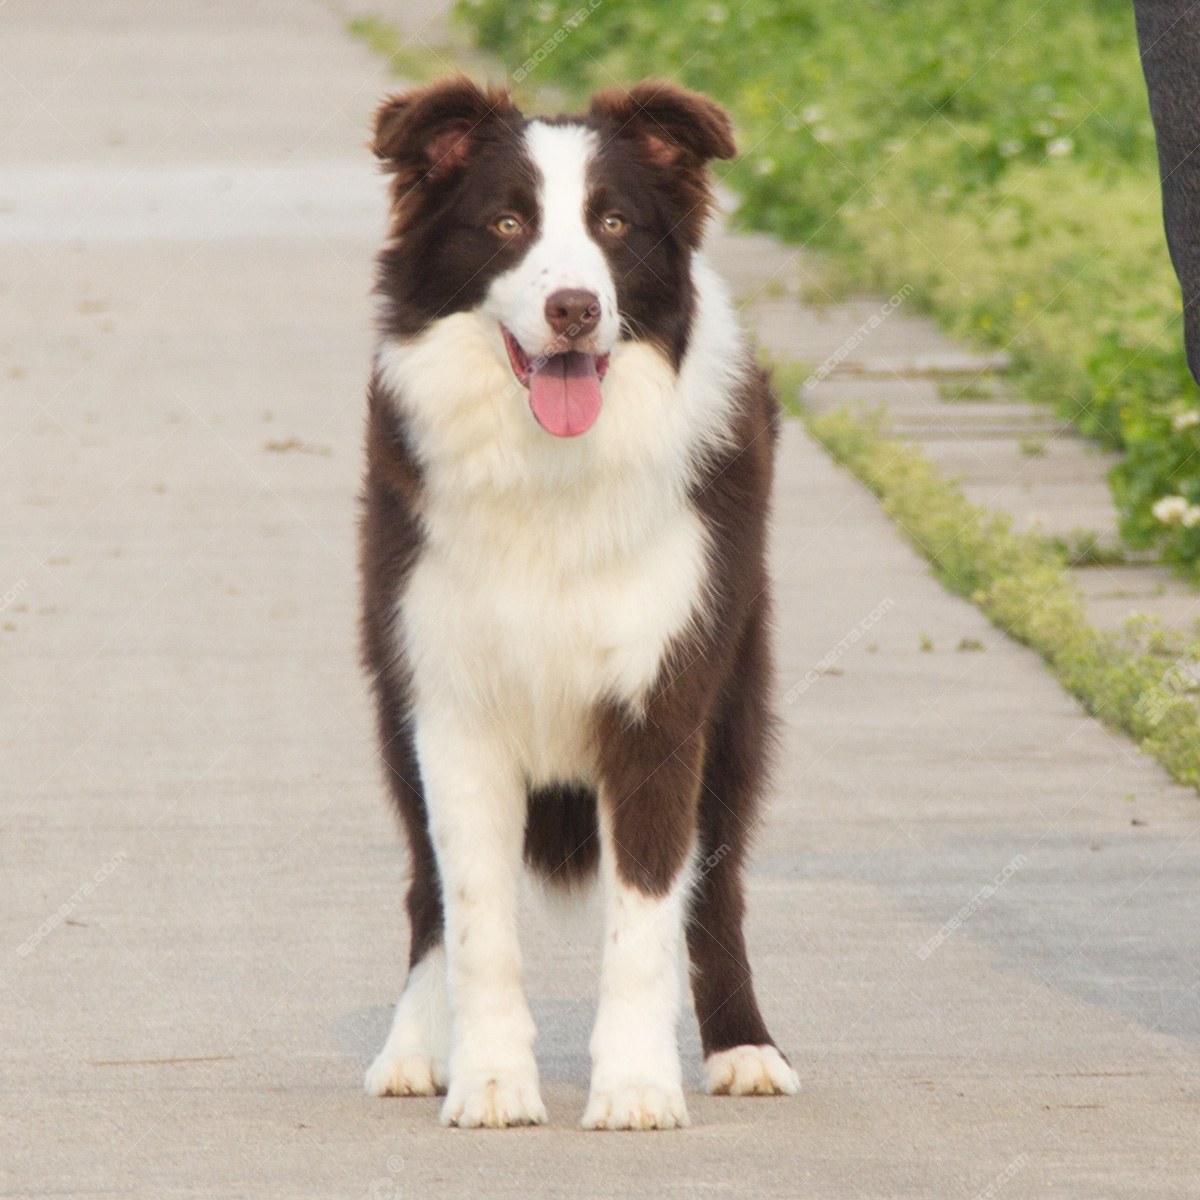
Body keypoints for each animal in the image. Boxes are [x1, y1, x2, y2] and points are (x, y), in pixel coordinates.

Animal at [360, 77, 801, 1132]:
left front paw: (637, 1086)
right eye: (506, 224)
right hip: (394, 706)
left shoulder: (662, 698)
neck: (548, 467)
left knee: (716, 888)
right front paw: (489, 1082)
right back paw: (412, 1048)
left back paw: (744, 1048)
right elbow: (475, 915)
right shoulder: (451, 701)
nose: (573, 309)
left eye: (613, 224)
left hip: (736, 702)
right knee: (425, 892)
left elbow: (644, 918)